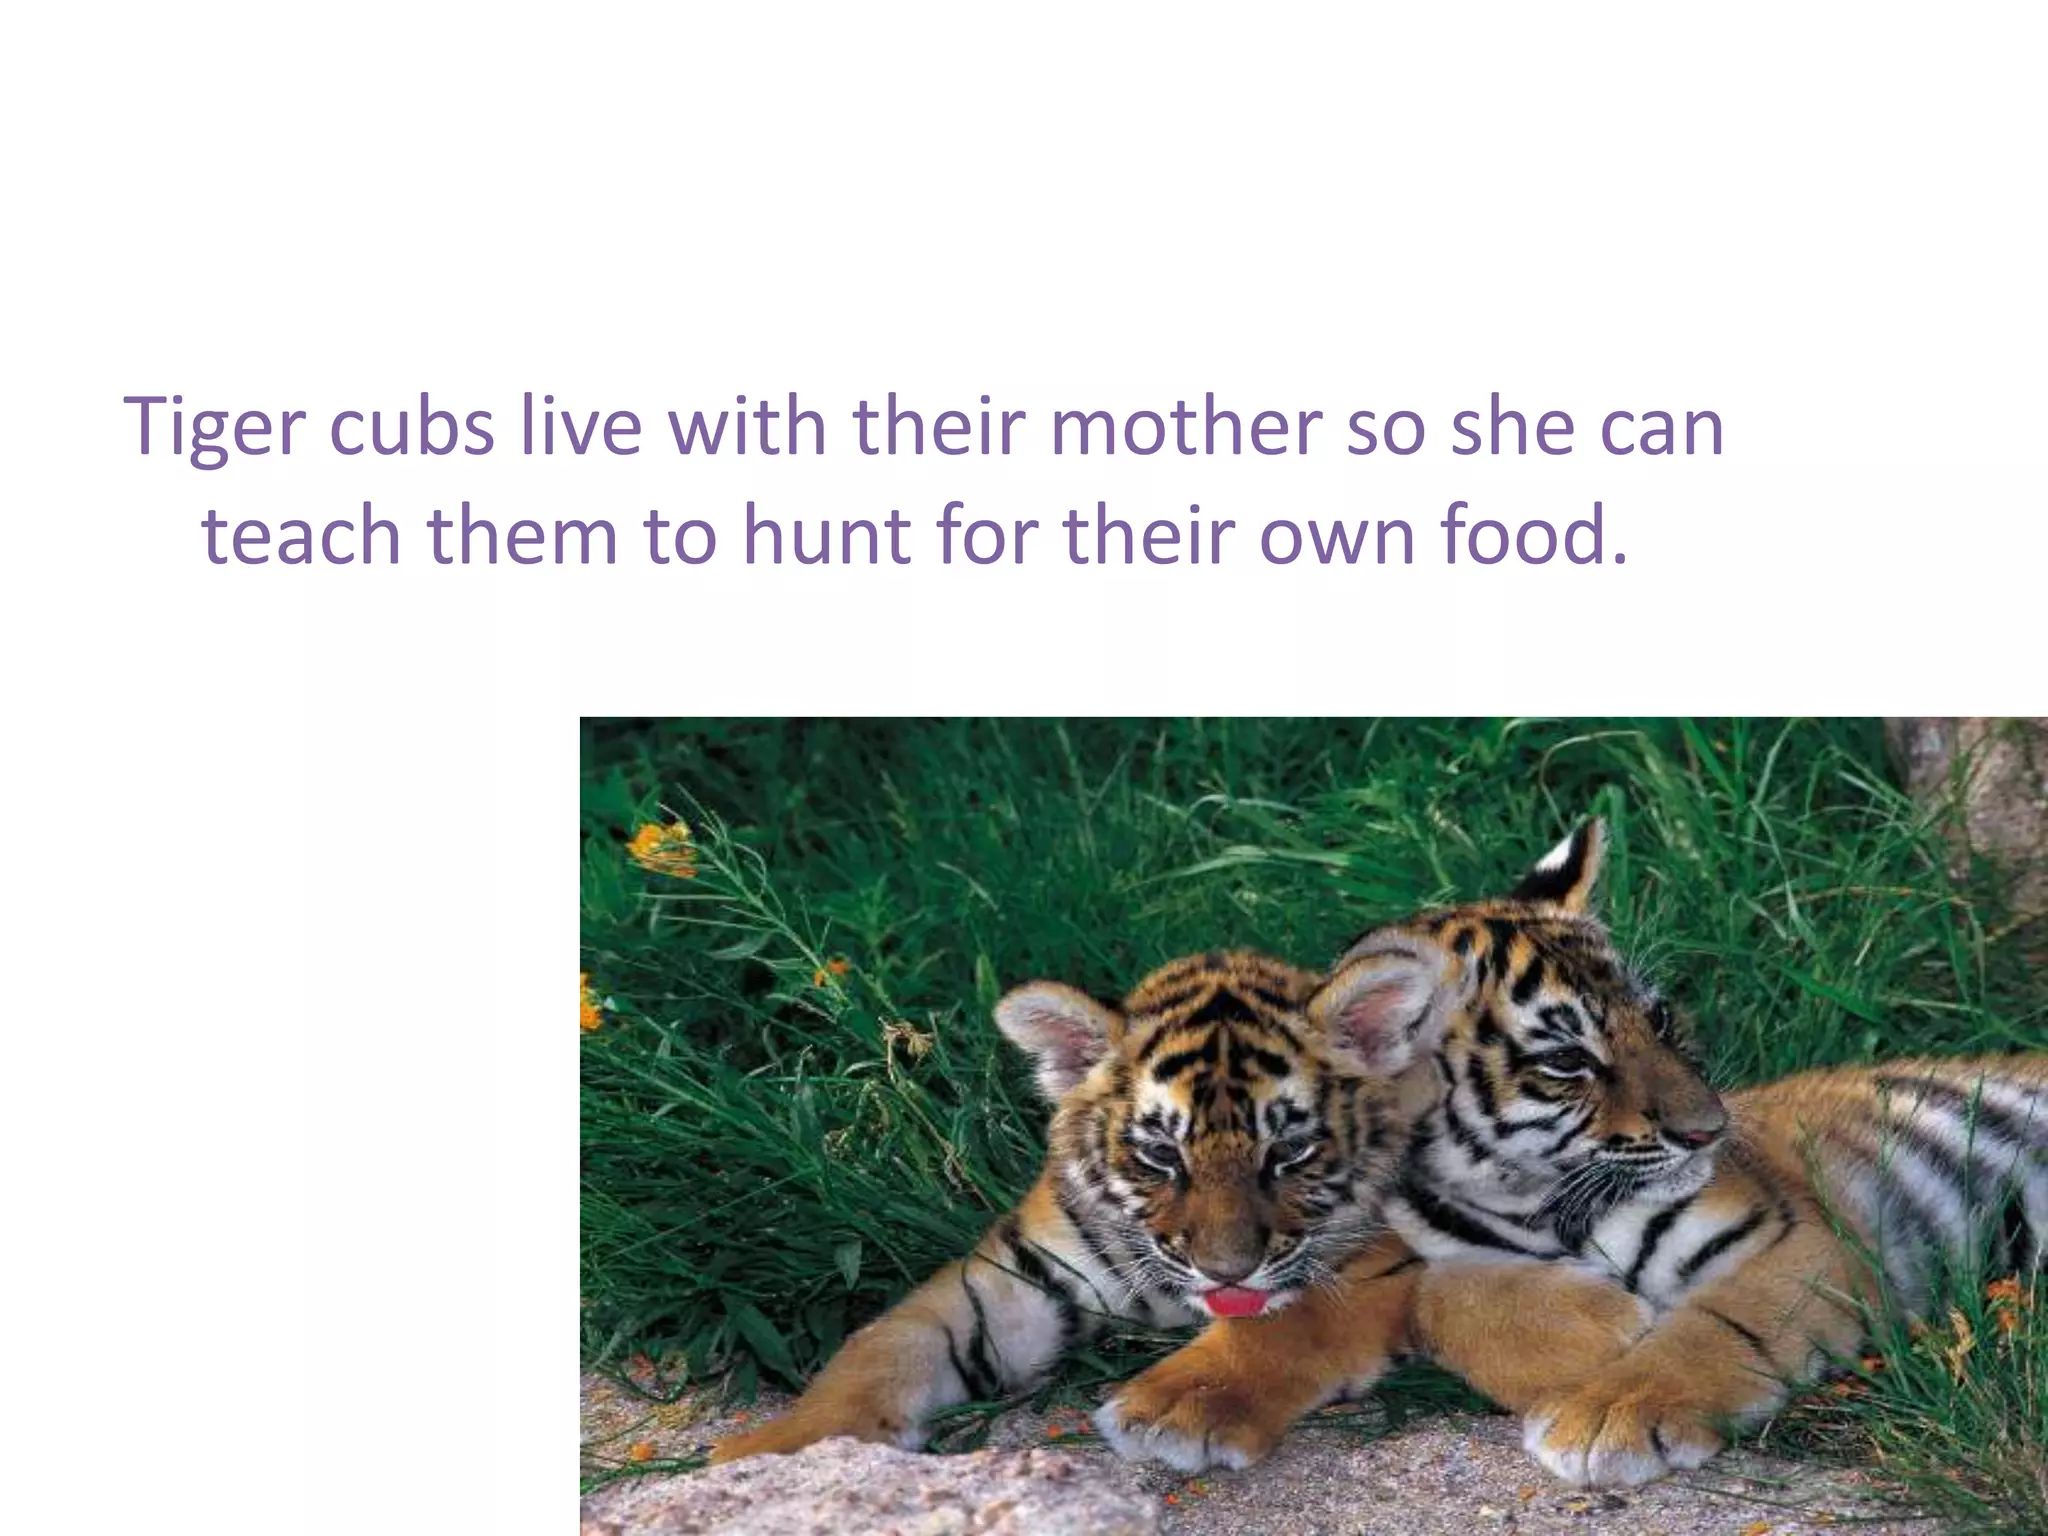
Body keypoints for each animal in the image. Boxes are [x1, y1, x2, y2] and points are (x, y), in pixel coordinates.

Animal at [711, 948, 1441, 1462]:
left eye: (1289, 1150)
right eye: (1161, 1155)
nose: (1226, 1270)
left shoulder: (1388, 1253)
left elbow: (1289, 1319)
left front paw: (1174, 1410)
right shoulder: (1013, 1280)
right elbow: (881, 1347)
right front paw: (781, 1454)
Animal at [1094, 820, 2046, 1487]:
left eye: (1657, 1020)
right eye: (1567, 1062)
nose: (1709, 1130)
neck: (1532, 1202)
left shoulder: (1799, 1239)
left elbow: (1715, 1323)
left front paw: (1609, 1411)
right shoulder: (1375, 1247)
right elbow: (1365, 1304)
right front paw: (1169, 1406)